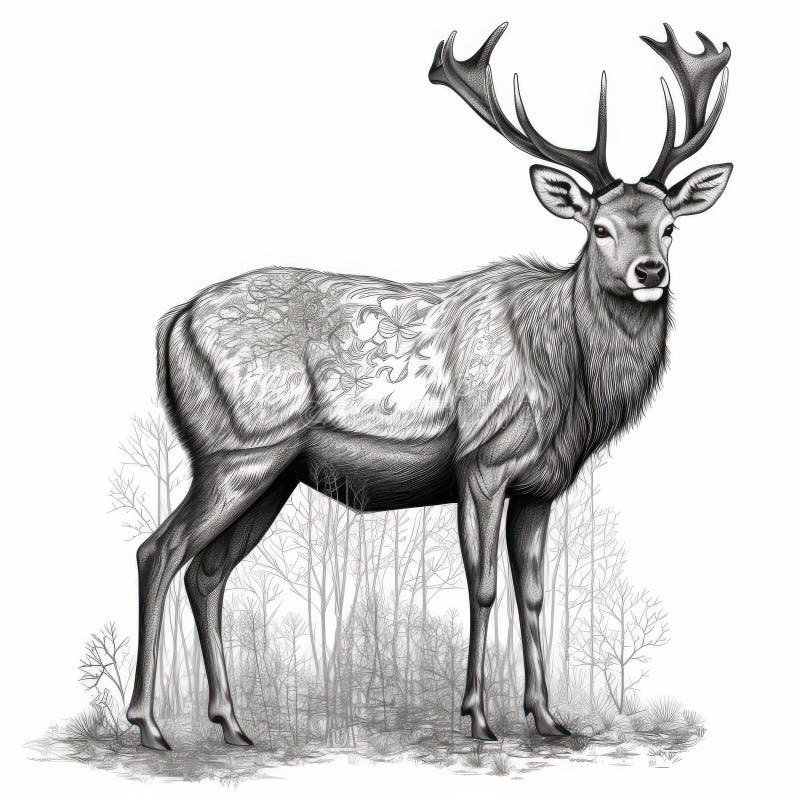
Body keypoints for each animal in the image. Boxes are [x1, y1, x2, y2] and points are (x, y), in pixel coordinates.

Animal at [126, 22, 732, 750]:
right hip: (238, 447)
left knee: (207, 572)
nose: (650, 272)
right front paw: (478, 717)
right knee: (159, 551)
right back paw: (149, 724)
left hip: (272, 473)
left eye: (670, 225)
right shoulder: (483, 459)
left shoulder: (541, 486)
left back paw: (232, 724)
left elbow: (534, 595)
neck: (567, 385)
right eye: (600, 227)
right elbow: (483, 586)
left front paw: (549, 718)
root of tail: (171, 321)